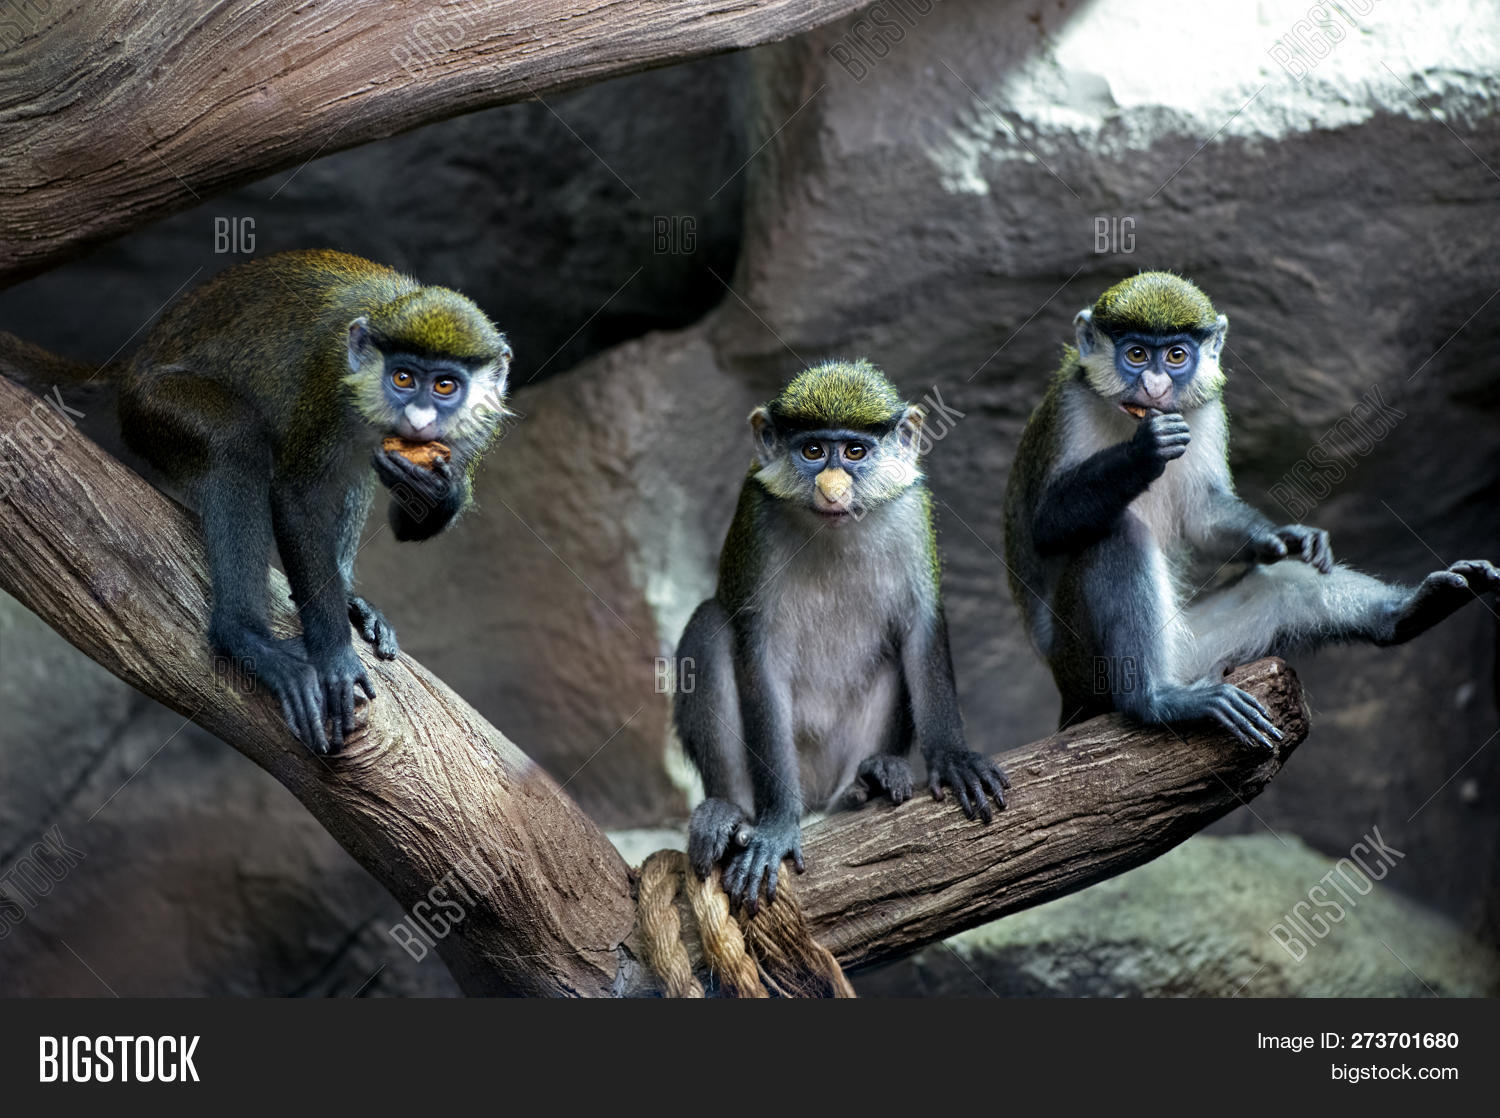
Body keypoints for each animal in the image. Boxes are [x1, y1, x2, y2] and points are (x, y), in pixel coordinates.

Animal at [81, 250, 511, 753]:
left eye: (445, 386)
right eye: (403, 377)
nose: (419, 419)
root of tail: (137, 360)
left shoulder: (478, 424)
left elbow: (410, 517)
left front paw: (438, 489)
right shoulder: (330, 378)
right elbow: (298, 498)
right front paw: (335, 658)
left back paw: (347, 598)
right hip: (154, 405)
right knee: (234, 440)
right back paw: (244, 636)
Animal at [674, 359, 1008, 911]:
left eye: (855, 451)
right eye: (813, 451)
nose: (832, 488)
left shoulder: (911, 512)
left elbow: (920, 630)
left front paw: (954, 757)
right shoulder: (757, 514)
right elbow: (757, 655)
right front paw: (777, 825)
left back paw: (863, 786)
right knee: (709, 627)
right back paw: (731, 812)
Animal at [1003, 270, 1500, 749]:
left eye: (1177, 356)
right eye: (1138, 354)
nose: (1155, 386)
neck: (1127, 416)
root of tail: (1066, 692)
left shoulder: (1206, 413)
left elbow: (1203, 516)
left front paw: (1279, 537)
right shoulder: (1069, 406)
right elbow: (1045, 524)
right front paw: (1143, 452)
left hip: (1189, 650)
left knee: (1285, 584)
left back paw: (1409, 612)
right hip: (1082, 666)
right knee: (1117, 532)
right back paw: (1154, 700)